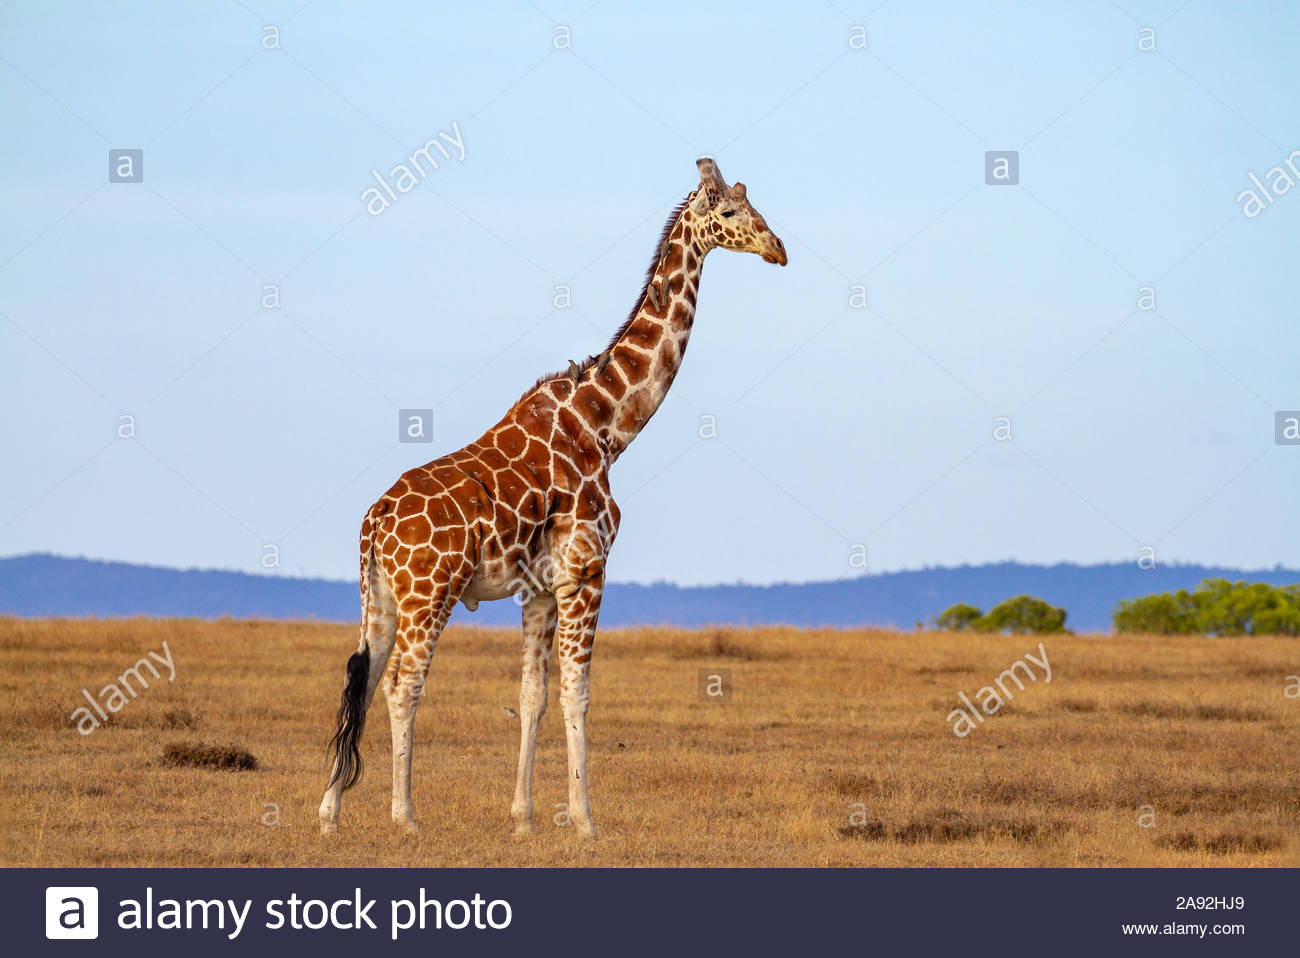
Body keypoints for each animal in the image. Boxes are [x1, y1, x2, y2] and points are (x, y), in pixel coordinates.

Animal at [318, 157, 787, 839]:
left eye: (755, 207)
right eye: (728, 212)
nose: (778, 248)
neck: (607, 425)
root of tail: (374, 521)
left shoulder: (539, 587)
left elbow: (531, 697)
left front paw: (524, 818)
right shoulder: (586, 571)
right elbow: (577, 693)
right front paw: (585, 820)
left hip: (377, 595)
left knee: (364, 672)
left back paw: (329, 813)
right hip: (429, 594)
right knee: (402, 684)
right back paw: (405, 817)